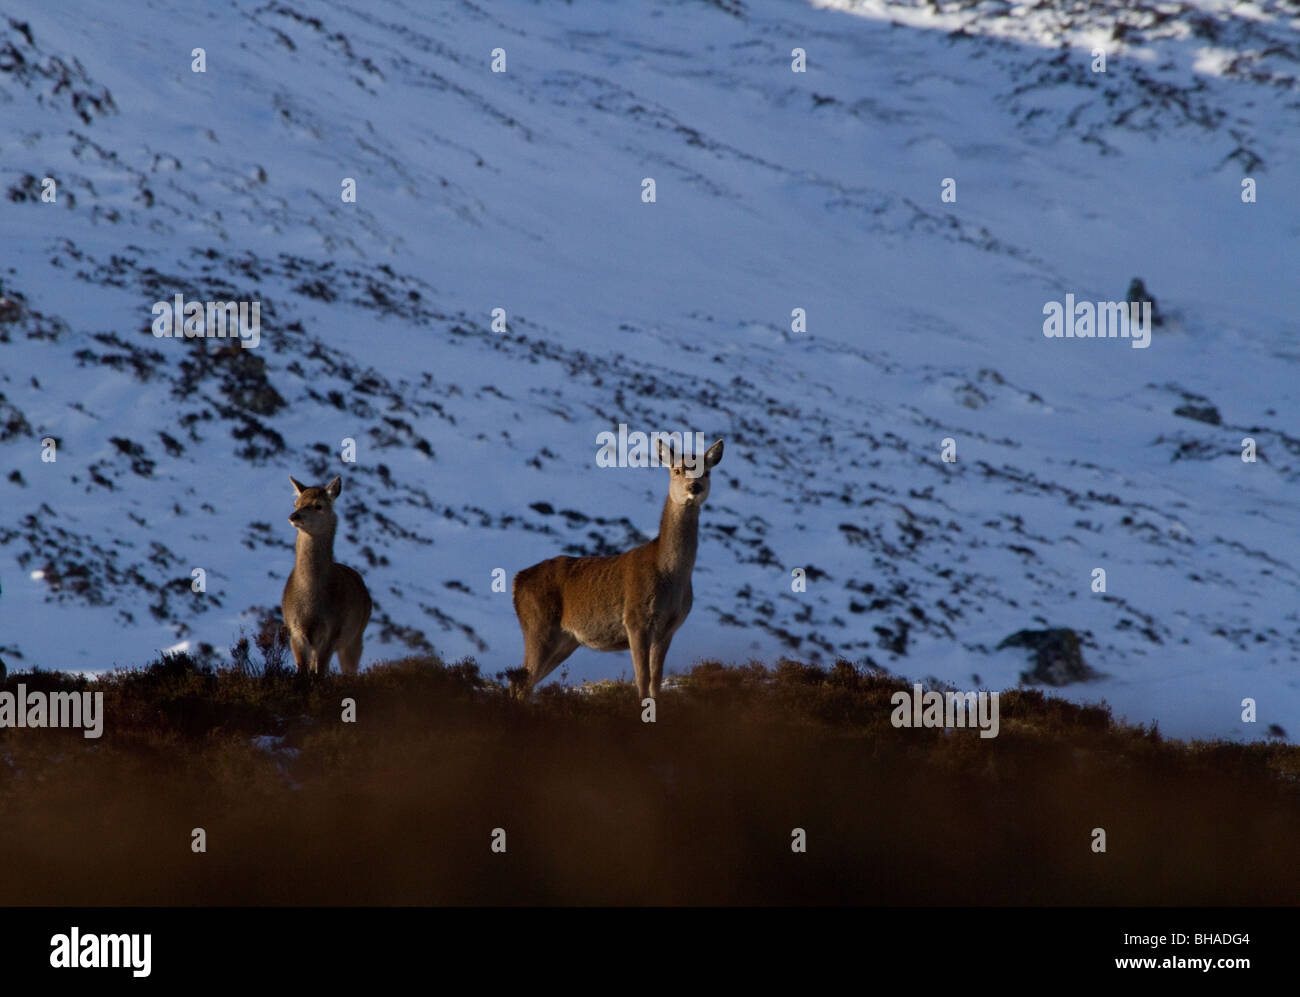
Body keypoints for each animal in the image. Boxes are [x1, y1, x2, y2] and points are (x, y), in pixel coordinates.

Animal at [282, 475, 372, 678]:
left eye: (318, 505)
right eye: (296, 503)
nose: (293, 516)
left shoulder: (333, 631)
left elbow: (321, 672)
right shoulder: (294, 630)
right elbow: (303, 671)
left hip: (356, 636)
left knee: (350, 669)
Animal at [512, 436, 724, 701]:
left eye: (707, 472)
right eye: (677, 470)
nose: (694, 487)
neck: (670, 576)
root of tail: (517, 582)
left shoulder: (668, 629)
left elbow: (656, 682)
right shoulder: (635, 620)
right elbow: (642, 680)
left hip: (565, 641)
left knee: (523, 681)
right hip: (538, 626)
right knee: (521, 681)